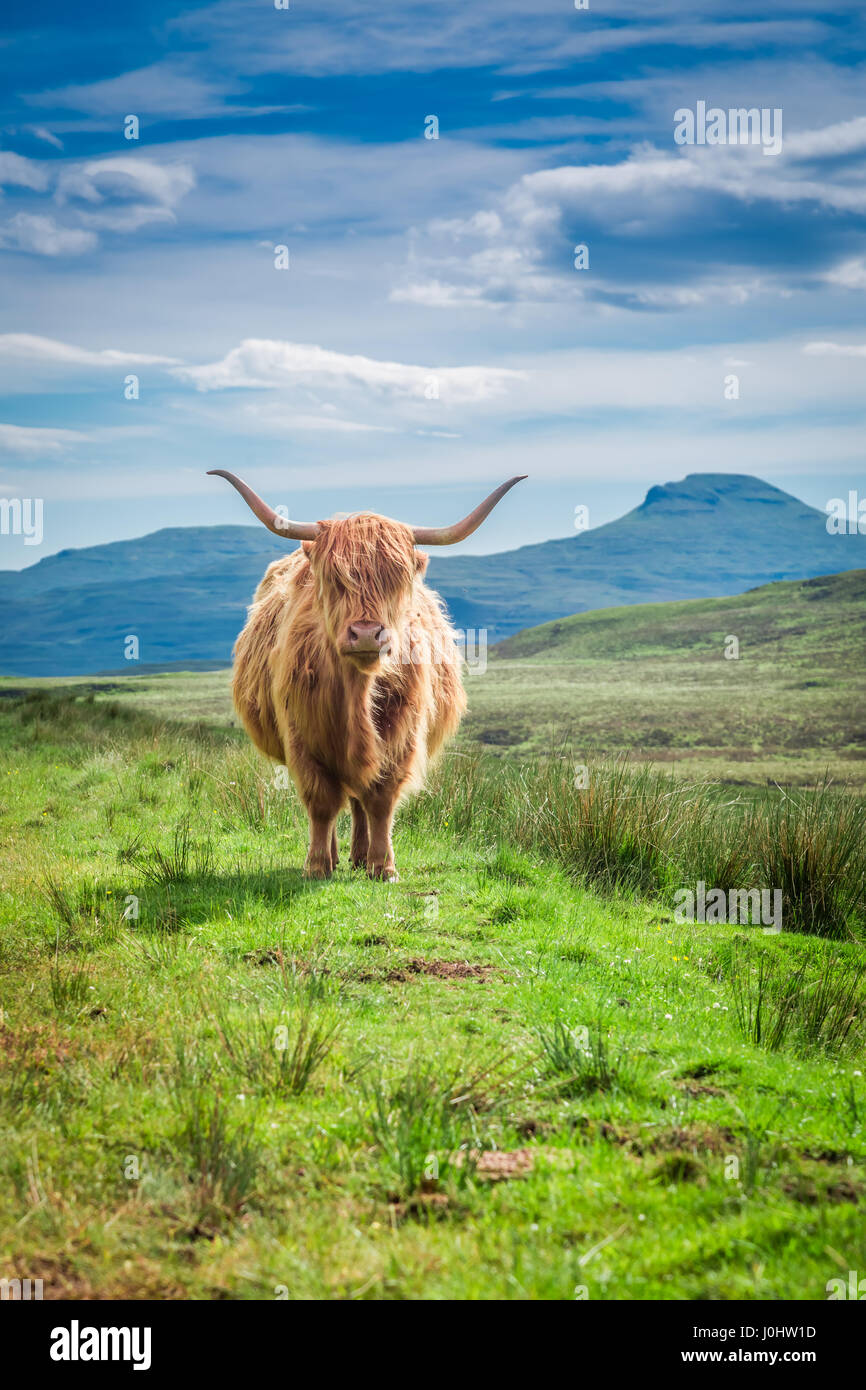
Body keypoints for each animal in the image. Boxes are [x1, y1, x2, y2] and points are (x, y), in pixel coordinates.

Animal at [209, 470, 525, 881]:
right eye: (335, 578)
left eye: (397, 579)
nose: (365, 634)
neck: (357, 691)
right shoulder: (301, 738)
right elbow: (321, 802)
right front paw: (317, 866)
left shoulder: (401, 738)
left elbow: (380, 801)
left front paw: (383, 866)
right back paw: (334, 856)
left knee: (360, 799)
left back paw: (360, 857)